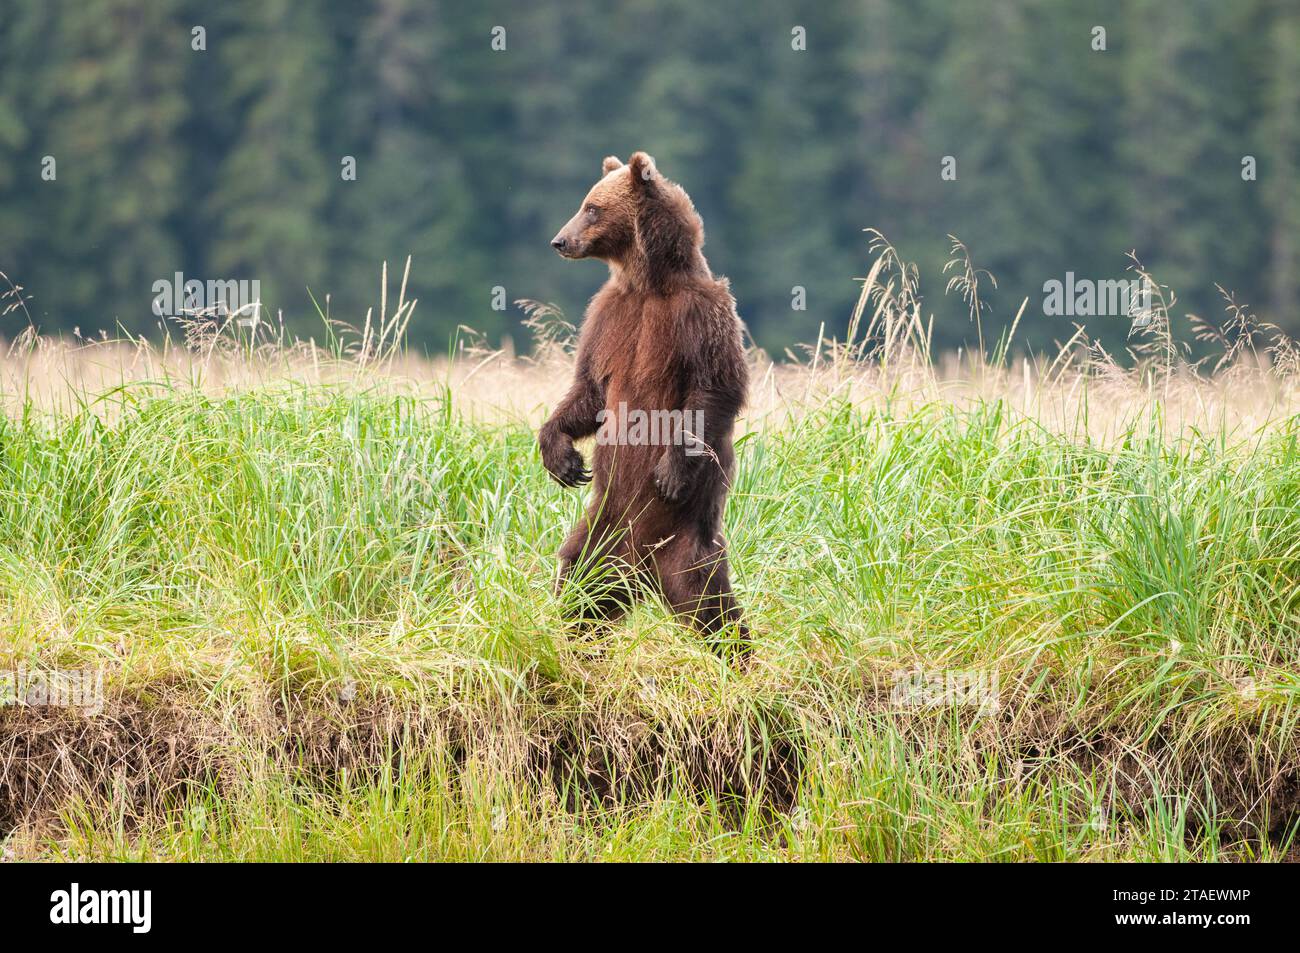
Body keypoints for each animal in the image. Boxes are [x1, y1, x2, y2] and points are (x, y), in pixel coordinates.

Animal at [540, 152, 750, 654]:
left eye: (591, 207)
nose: (559, 240)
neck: (648, 284)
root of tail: (643, 568)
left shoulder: (699, 316)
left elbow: (715, 387)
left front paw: (670, 471)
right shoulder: (609, 318)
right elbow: (589, 391)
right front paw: (563, 459)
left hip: (688, 537)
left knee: (712, 605)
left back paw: (739, 656)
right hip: (602, 529)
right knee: (581, 580)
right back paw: (573, 638)